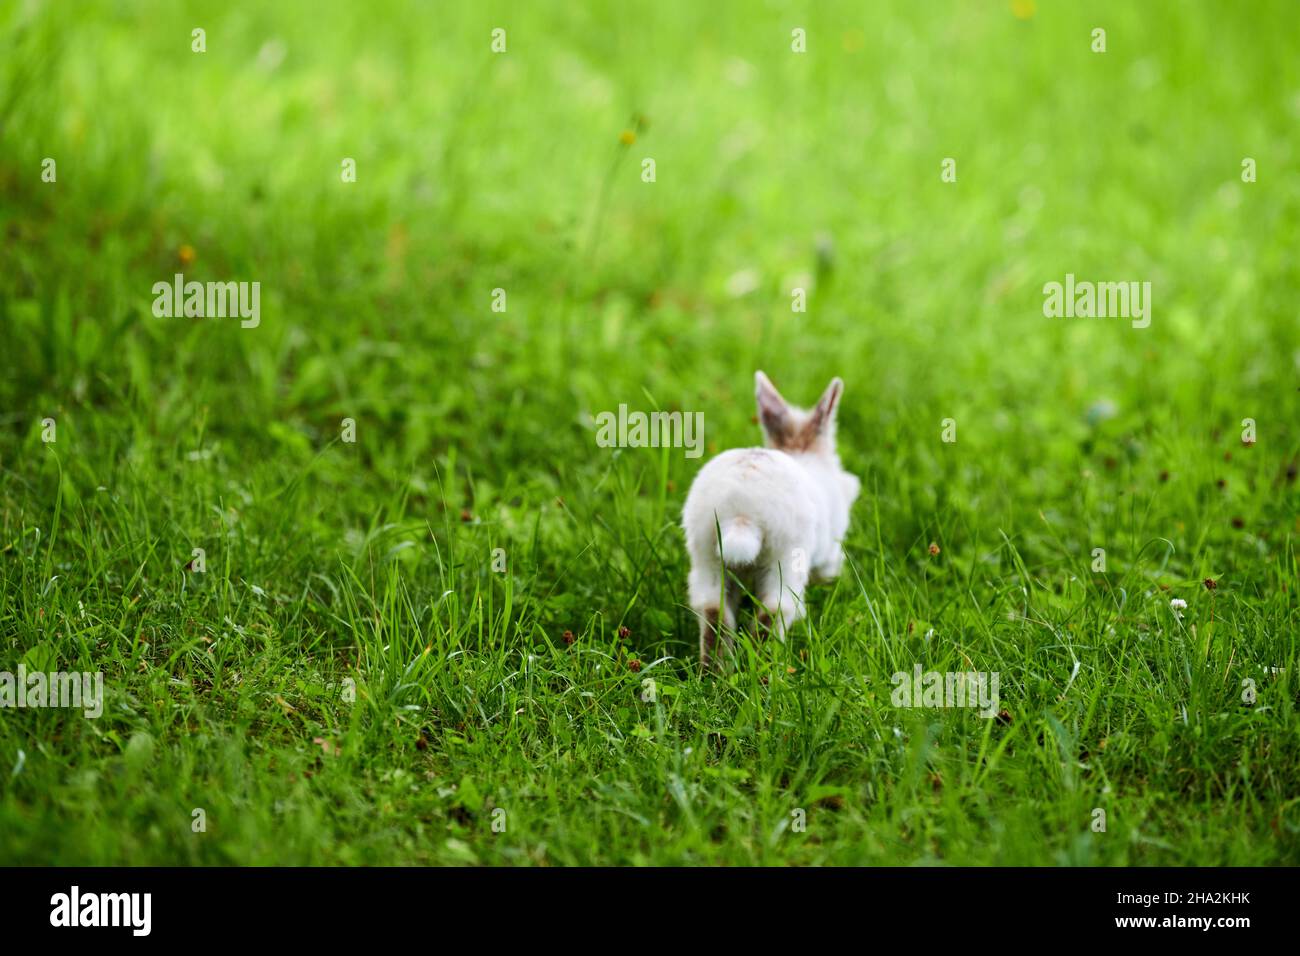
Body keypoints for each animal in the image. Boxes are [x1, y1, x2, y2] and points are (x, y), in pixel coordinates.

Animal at [681, 371, 861, 670]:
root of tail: (742, 512)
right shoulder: (829, 550)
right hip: (785, 559)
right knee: (774, 610)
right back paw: (764, 666)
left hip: (707, 557)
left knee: (714, 611)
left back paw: (714, 672)